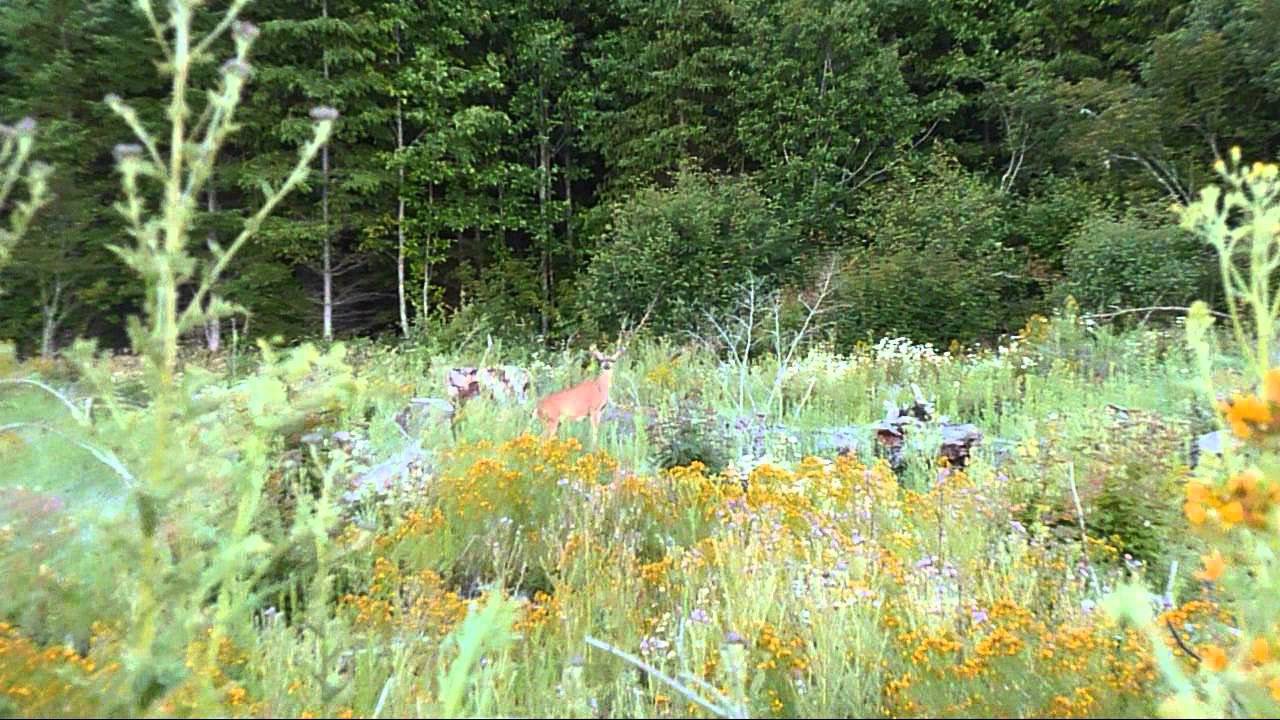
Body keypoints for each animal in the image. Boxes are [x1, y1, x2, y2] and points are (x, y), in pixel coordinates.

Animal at [533, 299, 655, 447]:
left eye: (613, 360)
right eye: (601, 360)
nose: (606, 365)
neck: (600, 388)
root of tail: (537, 408)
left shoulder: (599, 412)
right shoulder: (594, 409)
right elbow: (594, 434)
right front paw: (594, 448)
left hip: (554, 422)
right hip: (551, 421)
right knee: (540, 439)